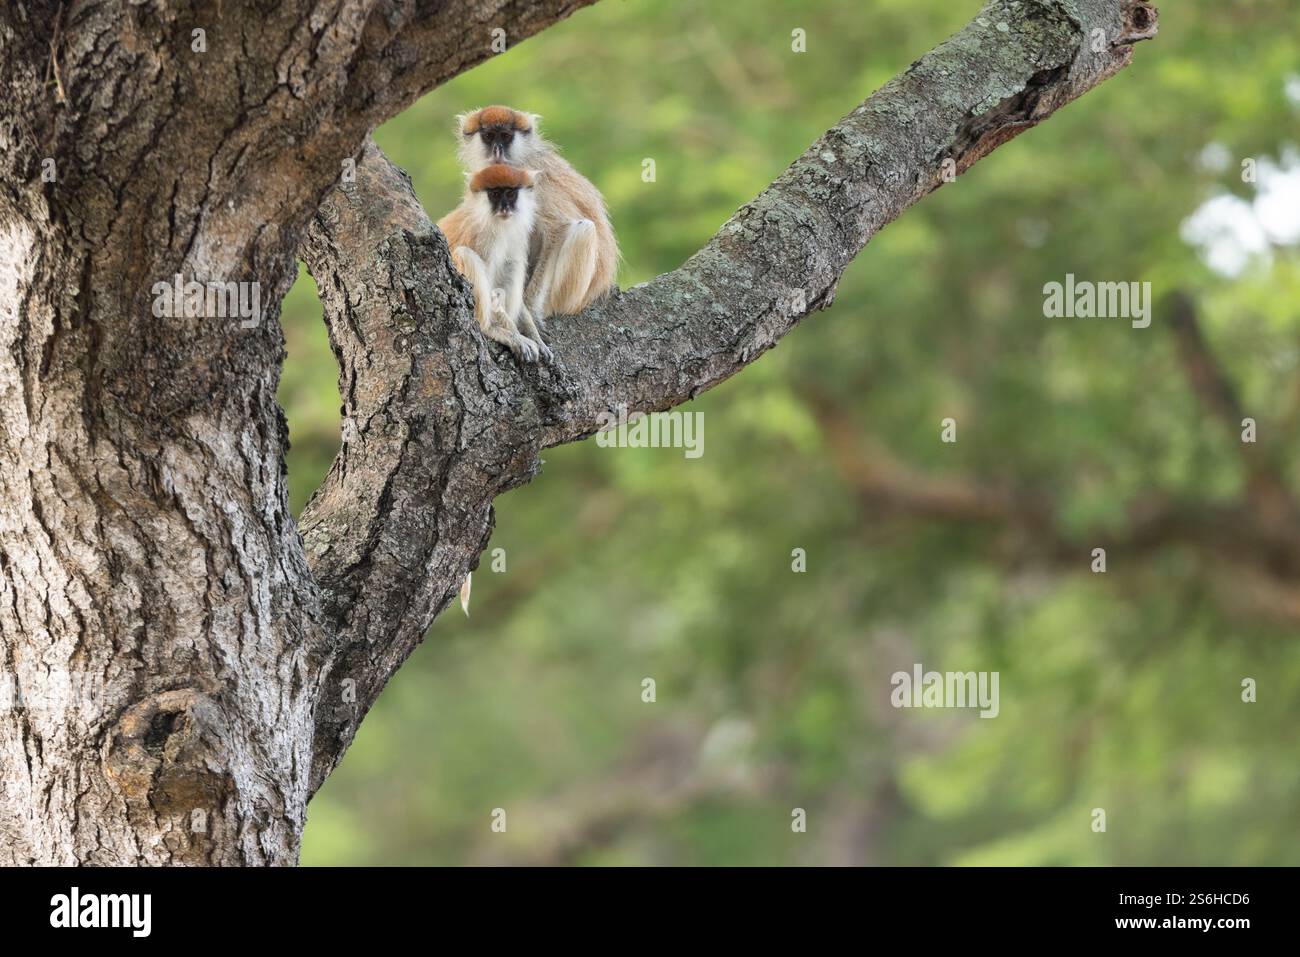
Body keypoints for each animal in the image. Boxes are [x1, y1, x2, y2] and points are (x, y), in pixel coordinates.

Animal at [437, 163, 552, 363]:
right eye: (496, 194)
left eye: (511, 193)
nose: (504, 208)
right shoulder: (483, 238)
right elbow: (491, 291)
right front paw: (517, 337)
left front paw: (536, 337)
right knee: (465, 255)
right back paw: (489, 328)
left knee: (512, 265)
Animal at [457, 105, 619, 321]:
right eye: (489, 136)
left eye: (506, 136)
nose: (497, 150)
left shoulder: (534, 179)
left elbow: (559, 228)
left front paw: (527, 309)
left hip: (564, 297)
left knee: (584, 229)